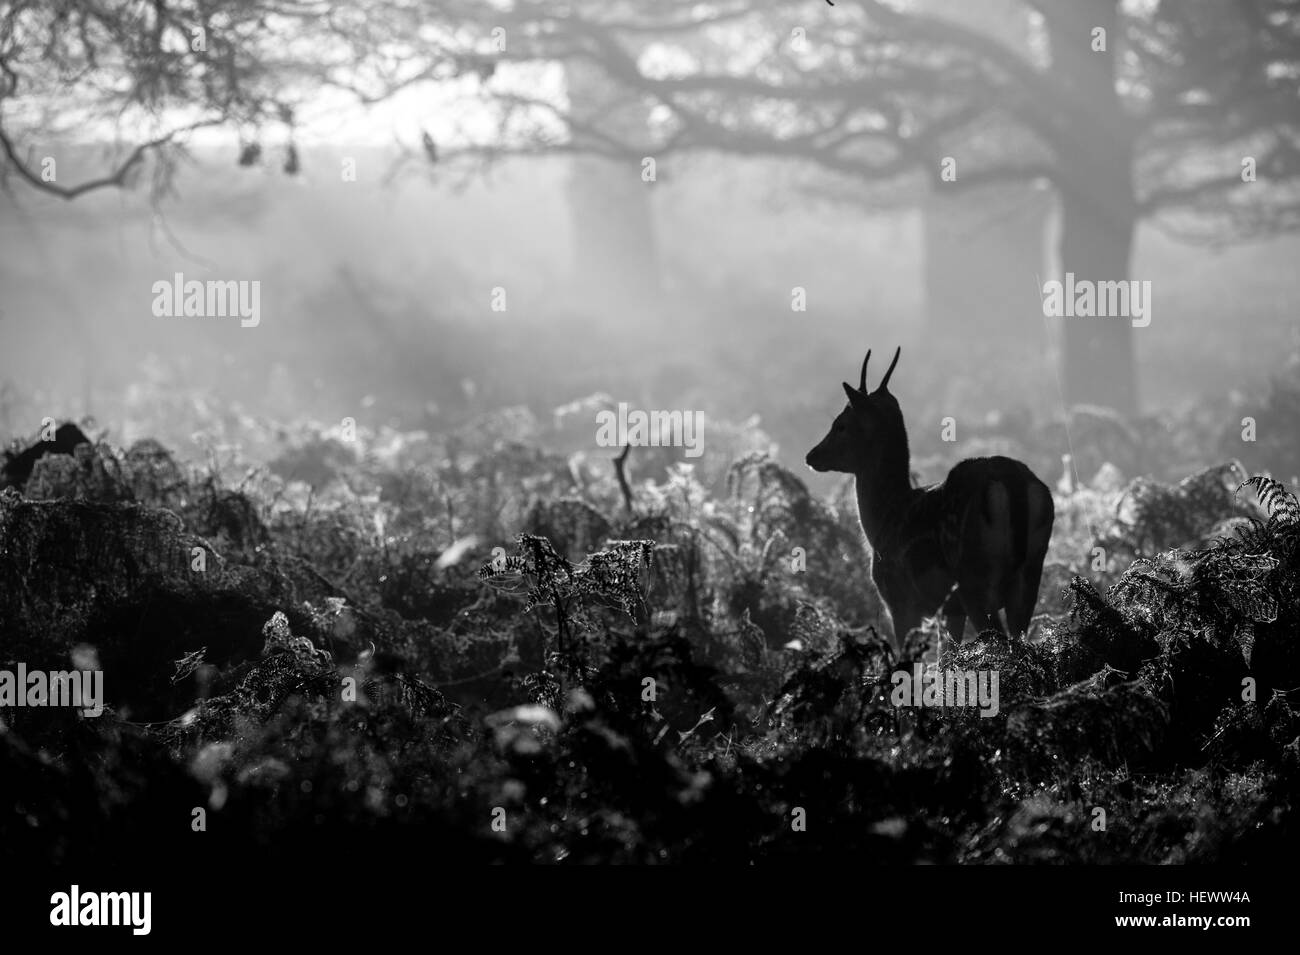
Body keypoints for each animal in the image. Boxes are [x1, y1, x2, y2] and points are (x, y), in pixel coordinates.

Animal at [806, 347, 1054, 651]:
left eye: (841, 425)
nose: (812, 455)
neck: (884, 518)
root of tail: (1014, 485)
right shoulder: (950, 610)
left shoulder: (899, 601)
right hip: (1030, 573)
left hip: (974, 578)